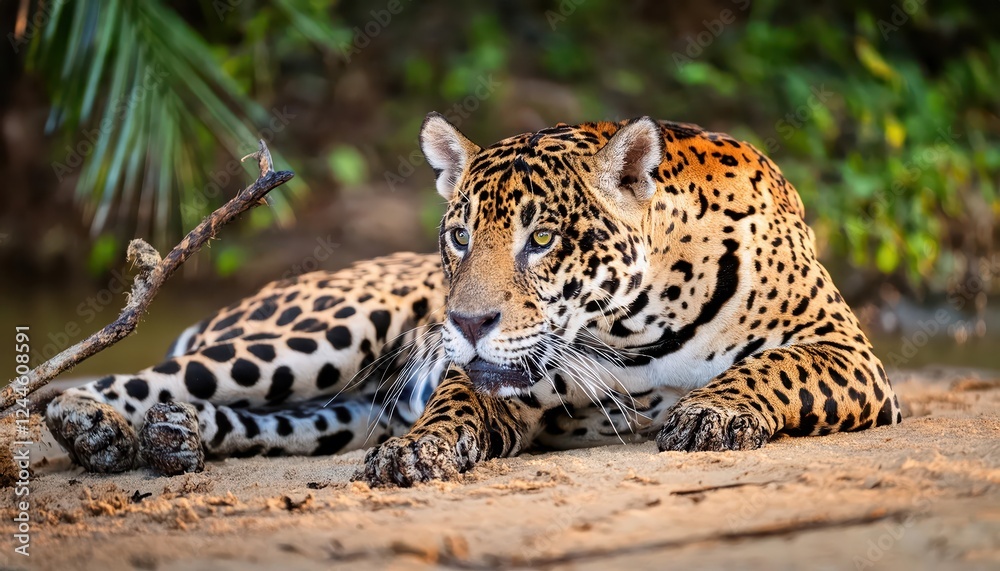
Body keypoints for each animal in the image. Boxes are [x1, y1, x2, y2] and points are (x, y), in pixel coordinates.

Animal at [45, 113, 901, 486]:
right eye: (459, 236)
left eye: (544, 237)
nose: (464, 320)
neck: (638, 325)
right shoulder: (500, 381)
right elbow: (457, 397)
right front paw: (420, 448)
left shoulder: (847, 349)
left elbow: (771, 369)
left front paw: (711, 412)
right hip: (329, 329)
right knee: (130, 377)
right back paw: (94, 423)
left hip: (341, 409)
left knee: (268, 418)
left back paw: (172, 436)